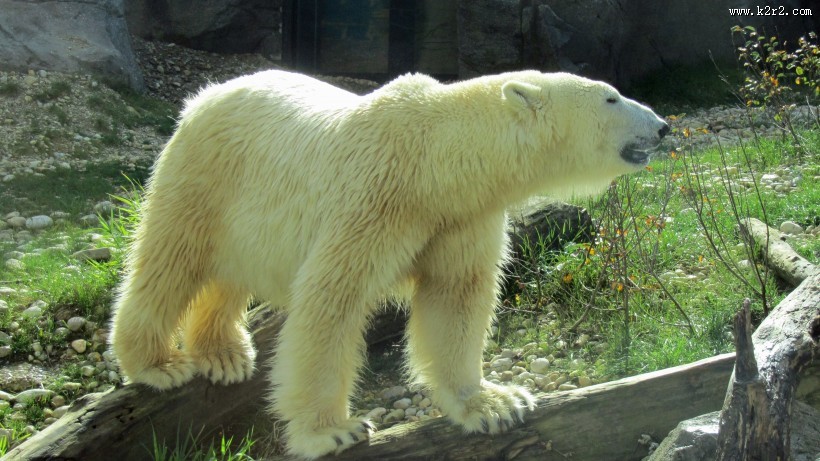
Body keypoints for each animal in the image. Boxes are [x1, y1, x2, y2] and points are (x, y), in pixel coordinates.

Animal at [110, 69, 669, 459]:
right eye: (611, 96)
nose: (663, 126)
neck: (435, 162)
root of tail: (205, 94)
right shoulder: (374, 198)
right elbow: (330, 302)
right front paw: (332, 431)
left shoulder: (460, 217)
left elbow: (456, 297)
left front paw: (494, 404)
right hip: (205, 173)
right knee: (169, 258)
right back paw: (158, 362)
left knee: (226, 274)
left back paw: (223, 354)